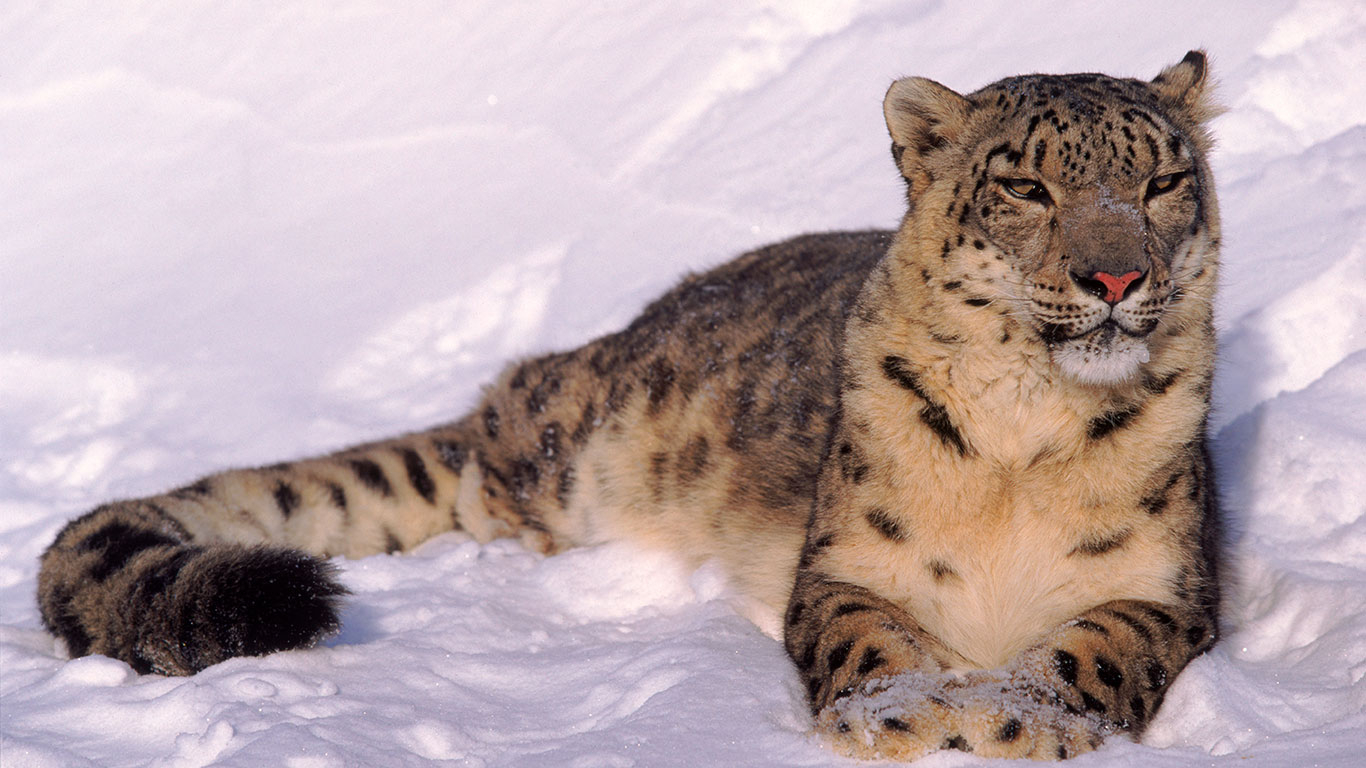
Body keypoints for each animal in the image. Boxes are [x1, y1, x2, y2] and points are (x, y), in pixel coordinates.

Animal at [37, 51, 1223, 761]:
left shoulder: (1168, 589)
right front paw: (906, 717)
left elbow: (1095, 649)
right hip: (567, 461)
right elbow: (866, 640)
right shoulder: (843, 566)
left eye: (1162, 183)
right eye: (1026, 187)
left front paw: (1011, 718)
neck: (1027, 438)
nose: (1116, 275)